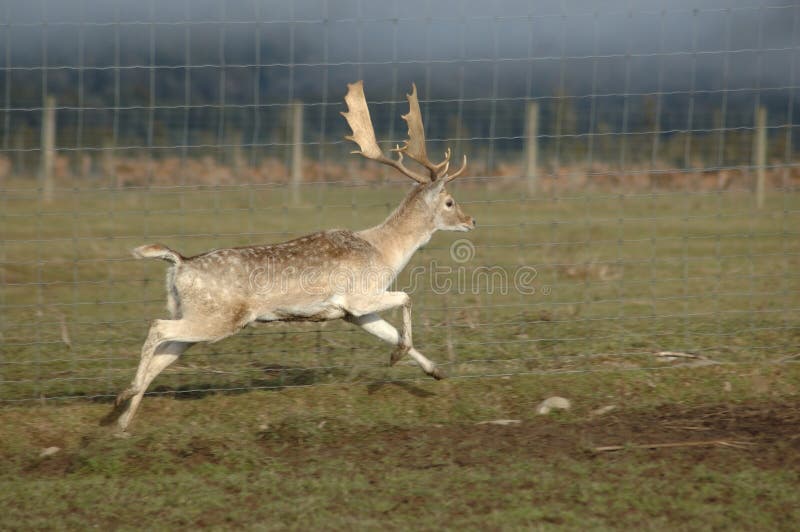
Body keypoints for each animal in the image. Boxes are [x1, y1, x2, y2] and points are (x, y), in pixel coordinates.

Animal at [106, 81, 475, 432]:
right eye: (450, 201)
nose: (472, 221)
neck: (384, 251)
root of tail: (179, 263)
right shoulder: (359, 297)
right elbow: (407, 298)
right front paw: (399, 357)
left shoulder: (353, 314)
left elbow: (391, 332)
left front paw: (435, 371)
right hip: (219, 317)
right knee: (157, 328)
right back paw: (123, 398)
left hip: (195, 316)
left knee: (163, 354)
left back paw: (122, 421)